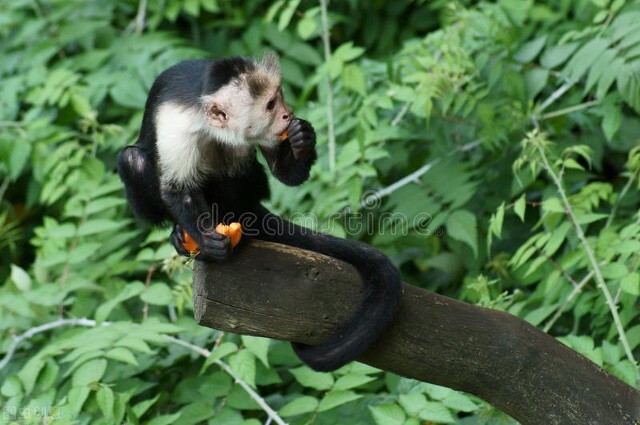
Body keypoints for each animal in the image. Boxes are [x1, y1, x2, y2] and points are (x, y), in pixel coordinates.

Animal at [117, 54, 402, 372]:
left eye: (280, 98)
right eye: (270, 105)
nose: (288, 115)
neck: (210, 124)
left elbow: (283, 174)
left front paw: (302, 140)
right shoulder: (178, 125)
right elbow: (178, 188)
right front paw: (206, 241)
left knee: (234, 166)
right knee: (133, 158)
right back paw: (183, 232)